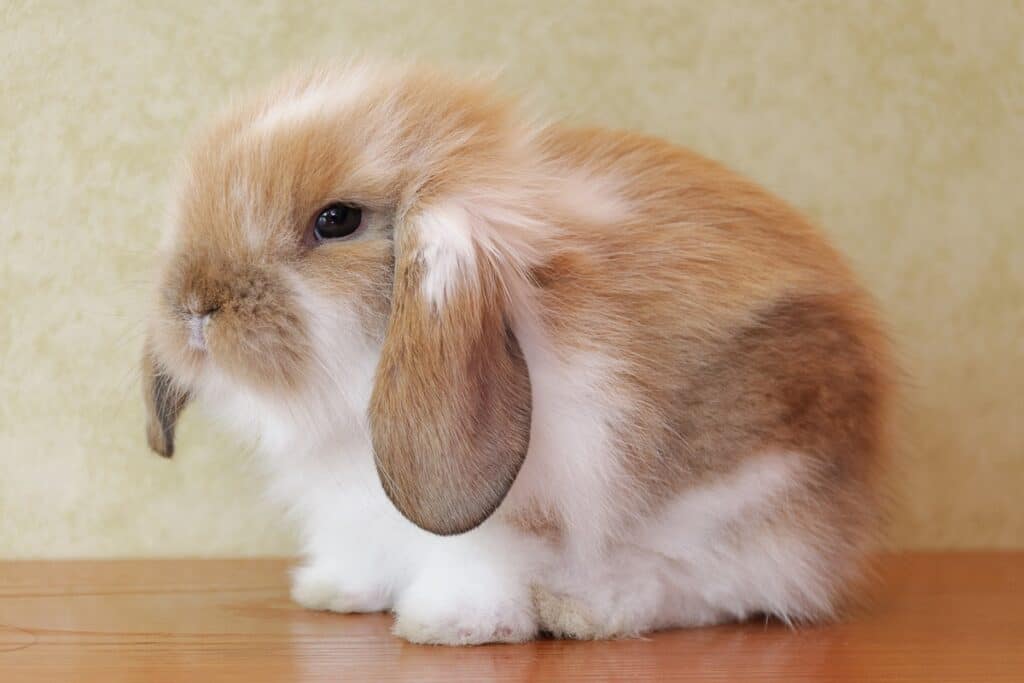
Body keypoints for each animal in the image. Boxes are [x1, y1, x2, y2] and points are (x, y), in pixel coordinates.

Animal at [142, 61, 894, 645]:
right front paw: (335, 592)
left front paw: (449, 625)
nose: (195, 305)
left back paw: (584, 608)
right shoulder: (348, 503)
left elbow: (486, 559)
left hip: (747, 480)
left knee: (728, 583)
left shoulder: (516, 511)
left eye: (336, 220)